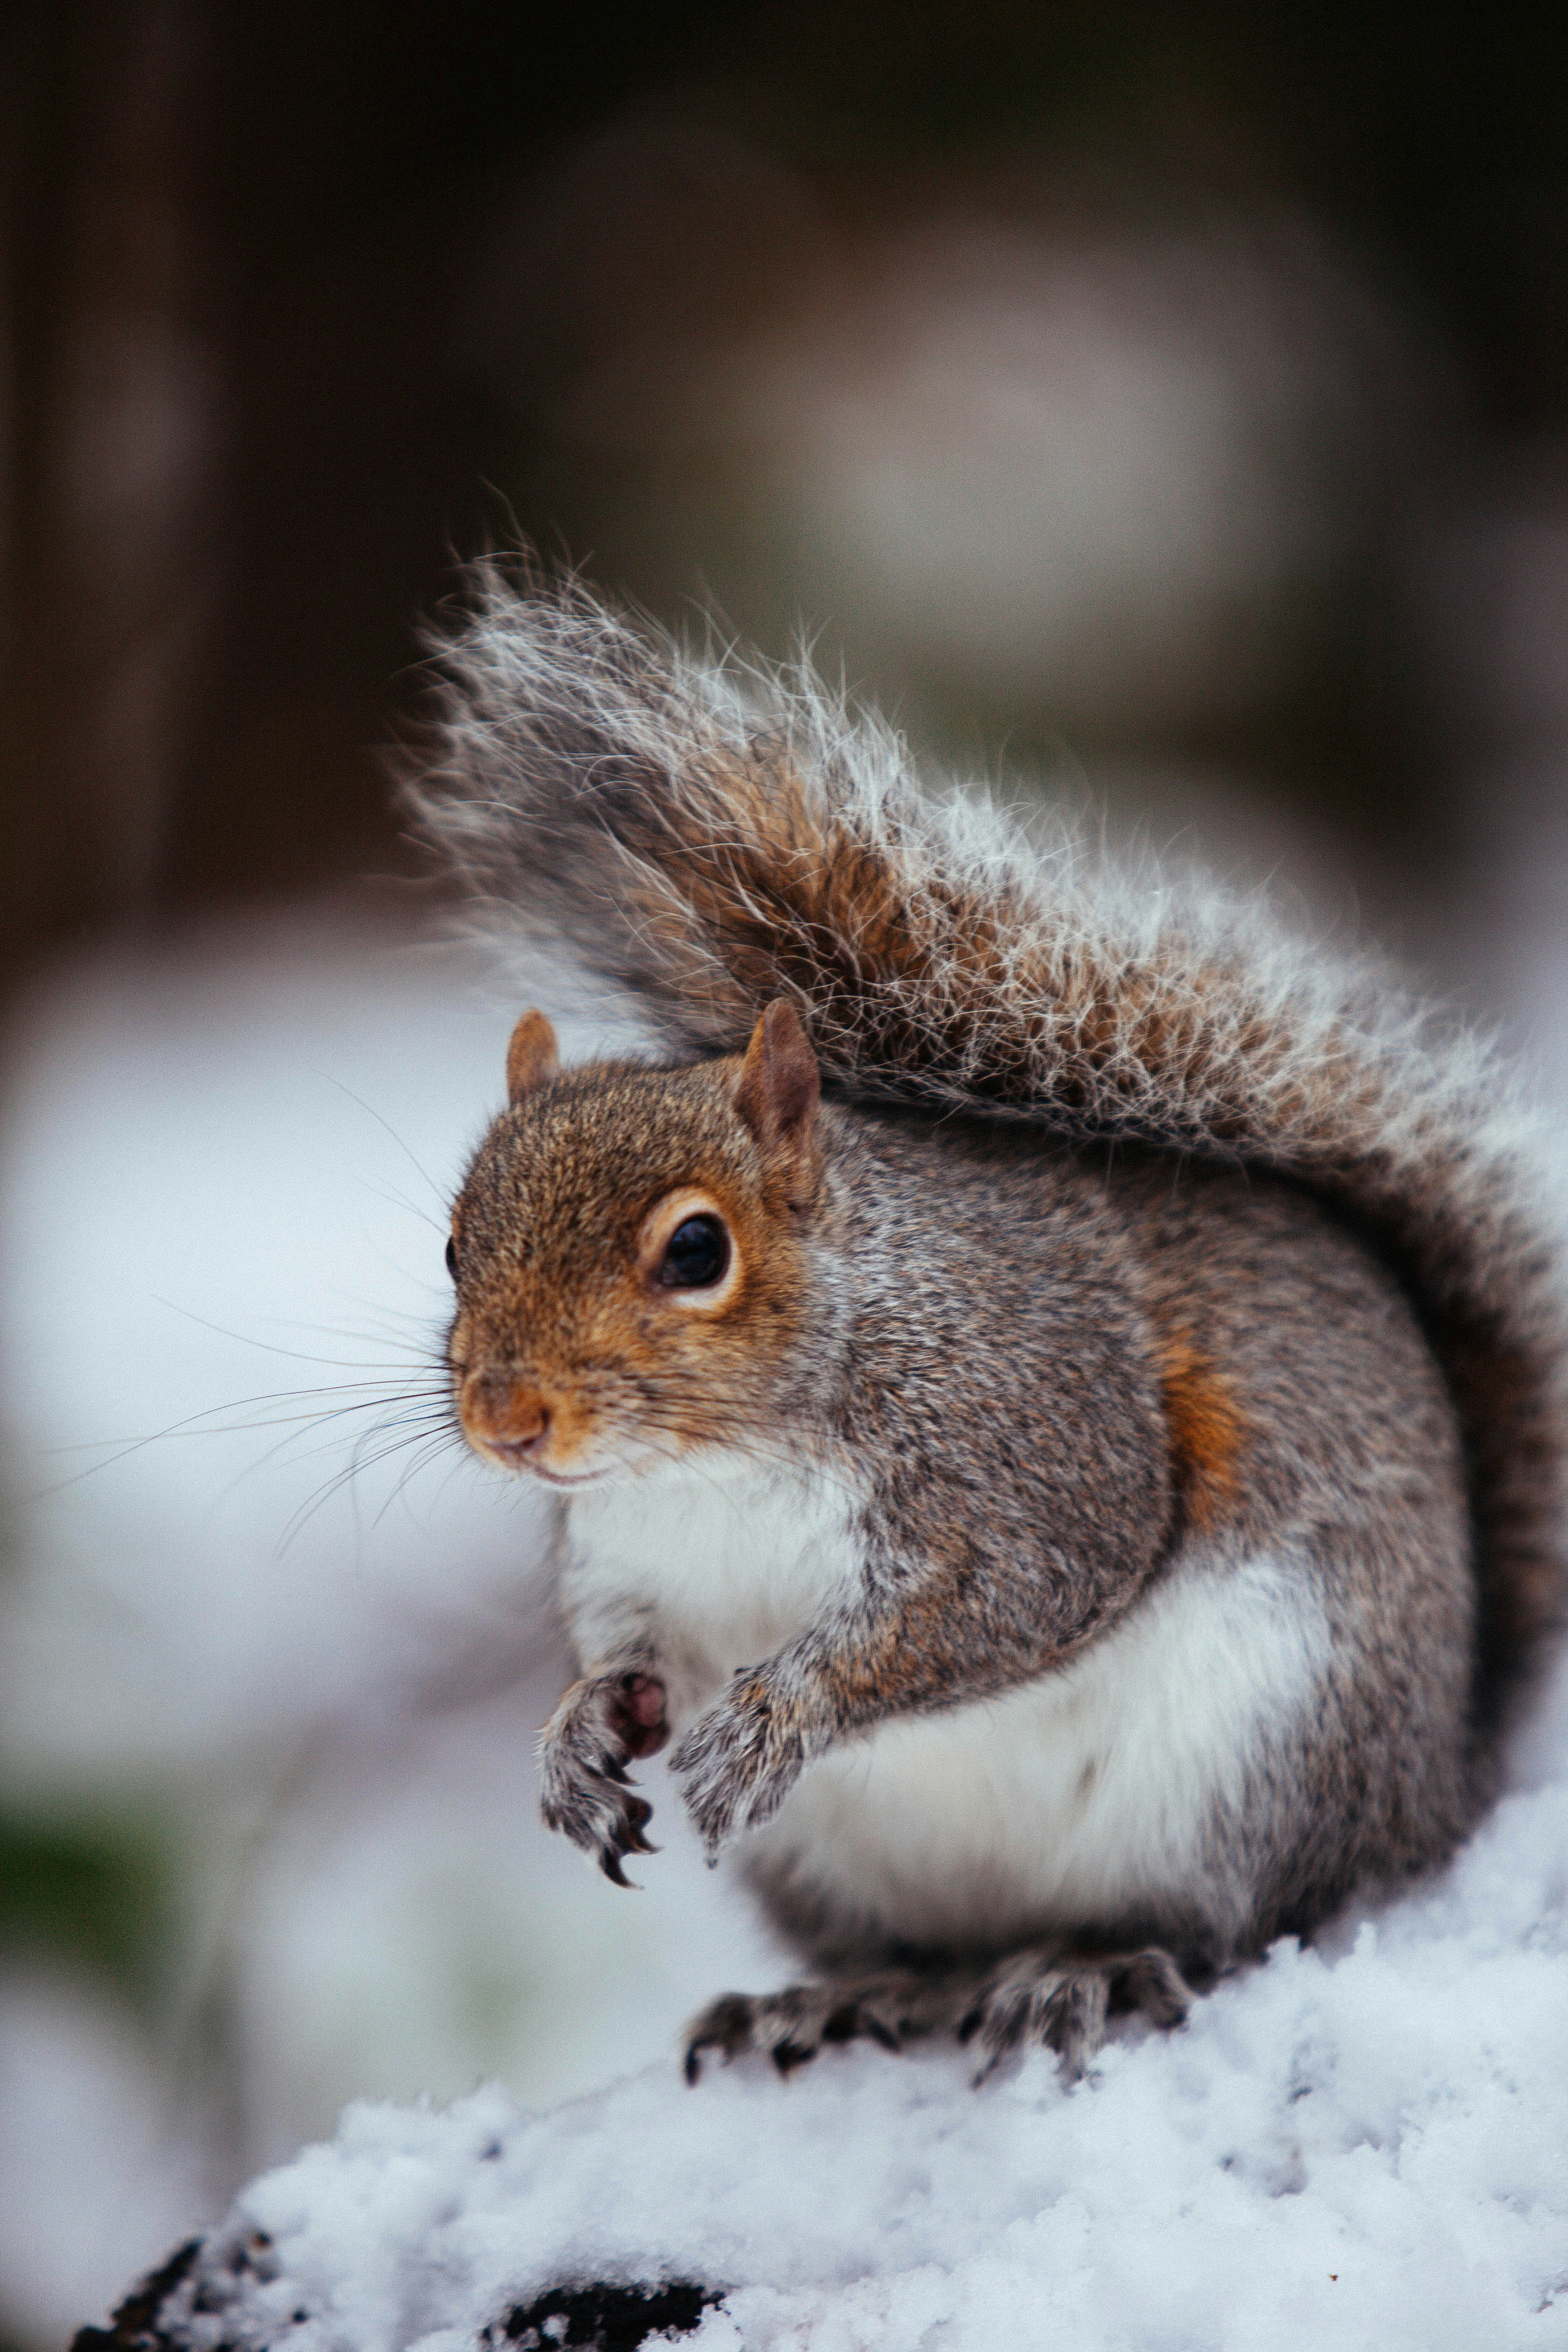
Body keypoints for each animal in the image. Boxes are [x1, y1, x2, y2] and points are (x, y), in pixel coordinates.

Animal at [408, 566, 1567, 2082]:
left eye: (697, 1250)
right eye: (450, 1247)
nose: (507, 1419)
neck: (715, 1469)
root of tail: (1443, 1779)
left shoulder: (1029, 1430)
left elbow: (1004, 1595)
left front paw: (772, 1719)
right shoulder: (626, 1556)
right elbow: (630, 1650)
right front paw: (579, 1734)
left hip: (1261, 1752)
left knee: (1238, 1921)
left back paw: (1096, 1964)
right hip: (838, 1869)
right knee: (929, 1957)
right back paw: (845, 1996)